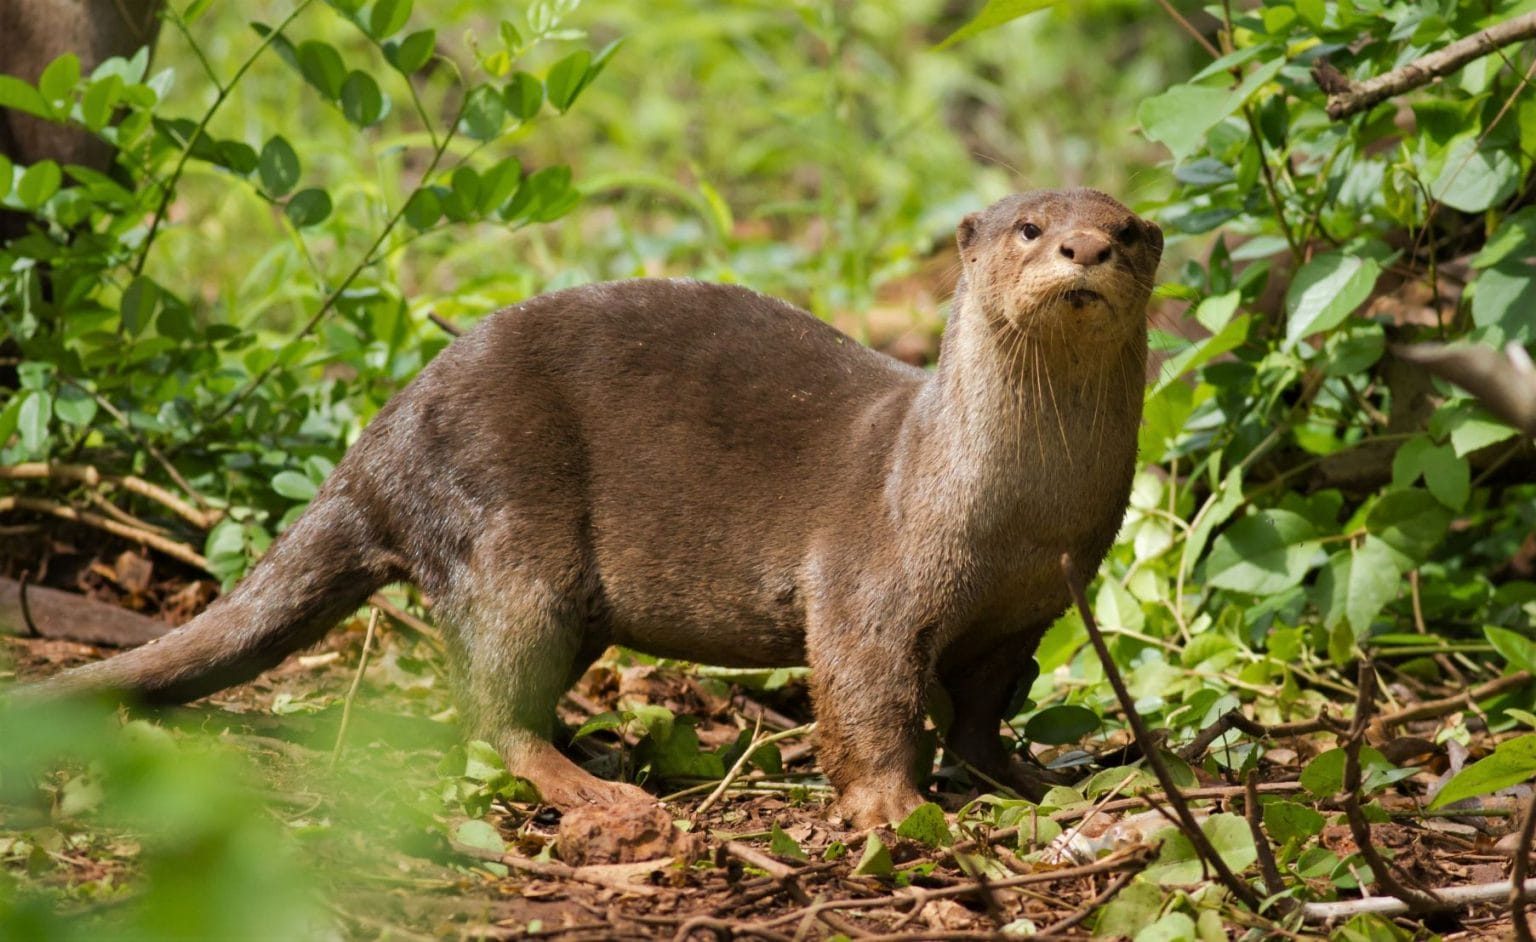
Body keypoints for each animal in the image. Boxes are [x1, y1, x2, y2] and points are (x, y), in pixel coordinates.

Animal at [27, 189, 1162, 827]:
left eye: (1125, 231)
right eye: (1029, 229)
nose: (1084, 252)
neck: (1011, 513)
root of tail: (379, 441)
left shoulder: (1033, 605)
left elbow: (981, 710)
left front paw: (1038, 779)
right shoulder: (867, 584)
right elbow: (867, 693)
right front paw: (893, 811)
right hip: (506, 530)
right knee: (487, 706)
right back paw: (596, 793)